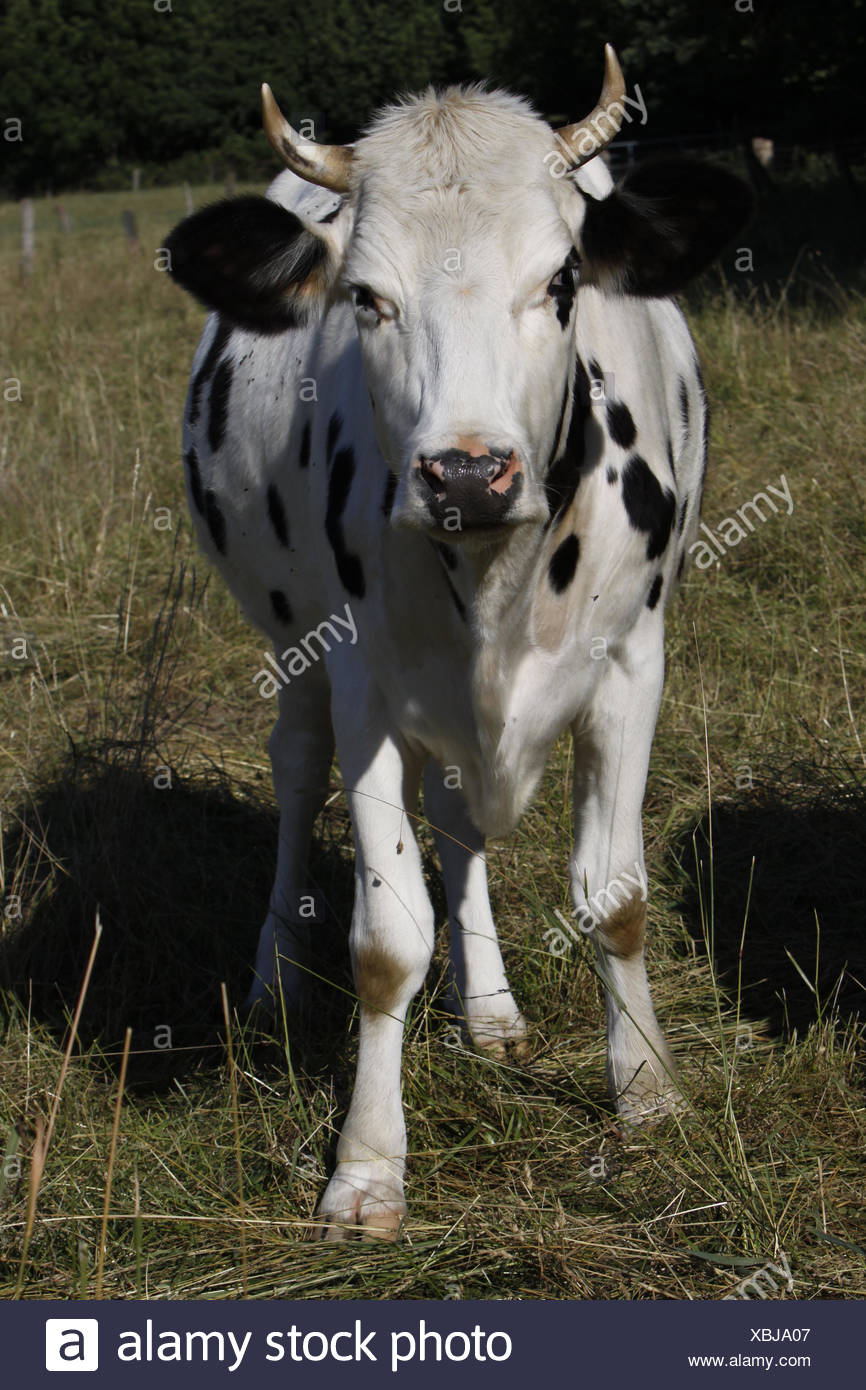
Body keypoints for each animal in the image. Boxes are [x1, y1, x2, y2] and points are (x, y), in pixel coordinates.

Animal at [164, 47, 752, 1239]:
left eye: (561, 283)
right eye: (365, 297)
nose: (468, 473)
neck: (496, 582)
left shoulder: (633, 663)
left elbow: (614, 896)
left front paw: (646, 1090)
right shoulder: (363, 683)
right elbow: (386, 942)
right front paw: (366, 1167)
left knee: (459, 822)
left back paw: (487, 1010)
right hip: (294, 649)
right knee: (295, 775)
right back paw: (272, 982)